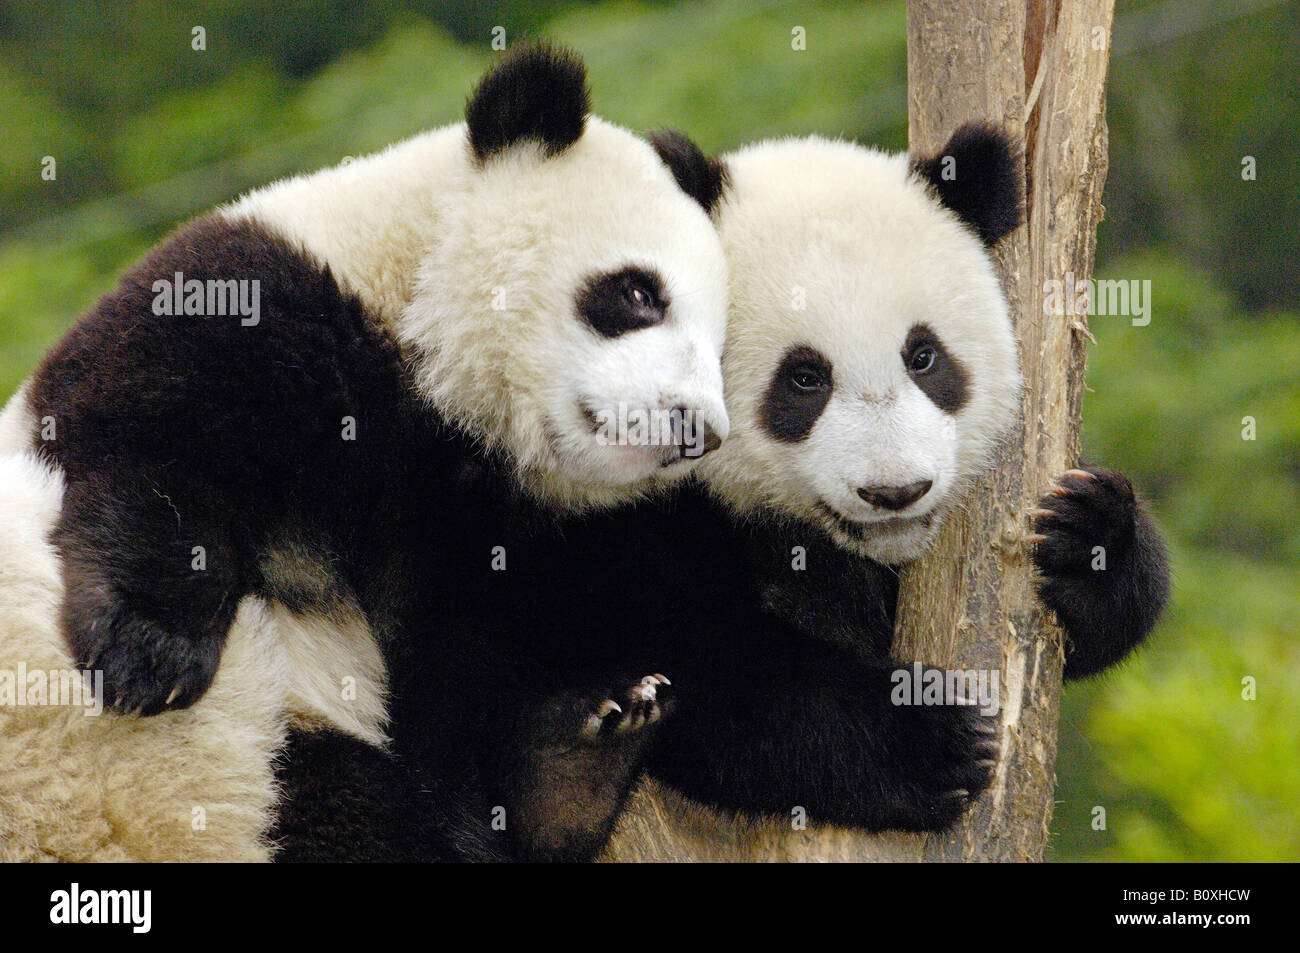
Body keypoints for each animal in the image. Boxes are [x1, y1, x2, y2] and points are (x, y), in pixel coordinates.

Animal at [0, 43, 732, 861]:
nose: (698, 427)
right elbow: (147, 450)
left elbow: (453, 700)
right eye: (639, 294)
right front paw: (150, 655)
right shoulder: (258, 302)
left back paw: (585, 760)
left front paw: (556, 779)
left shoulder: (474, 531)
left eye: (720, 346)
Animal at [266, 124, 1169, 862]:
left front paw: (1089, 537)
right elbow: (696, 655)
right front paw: (925, 740)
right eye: (803, 378)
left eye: (925, 356)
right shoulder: (598, 518)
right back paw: (566, 775)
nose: (894, 490)